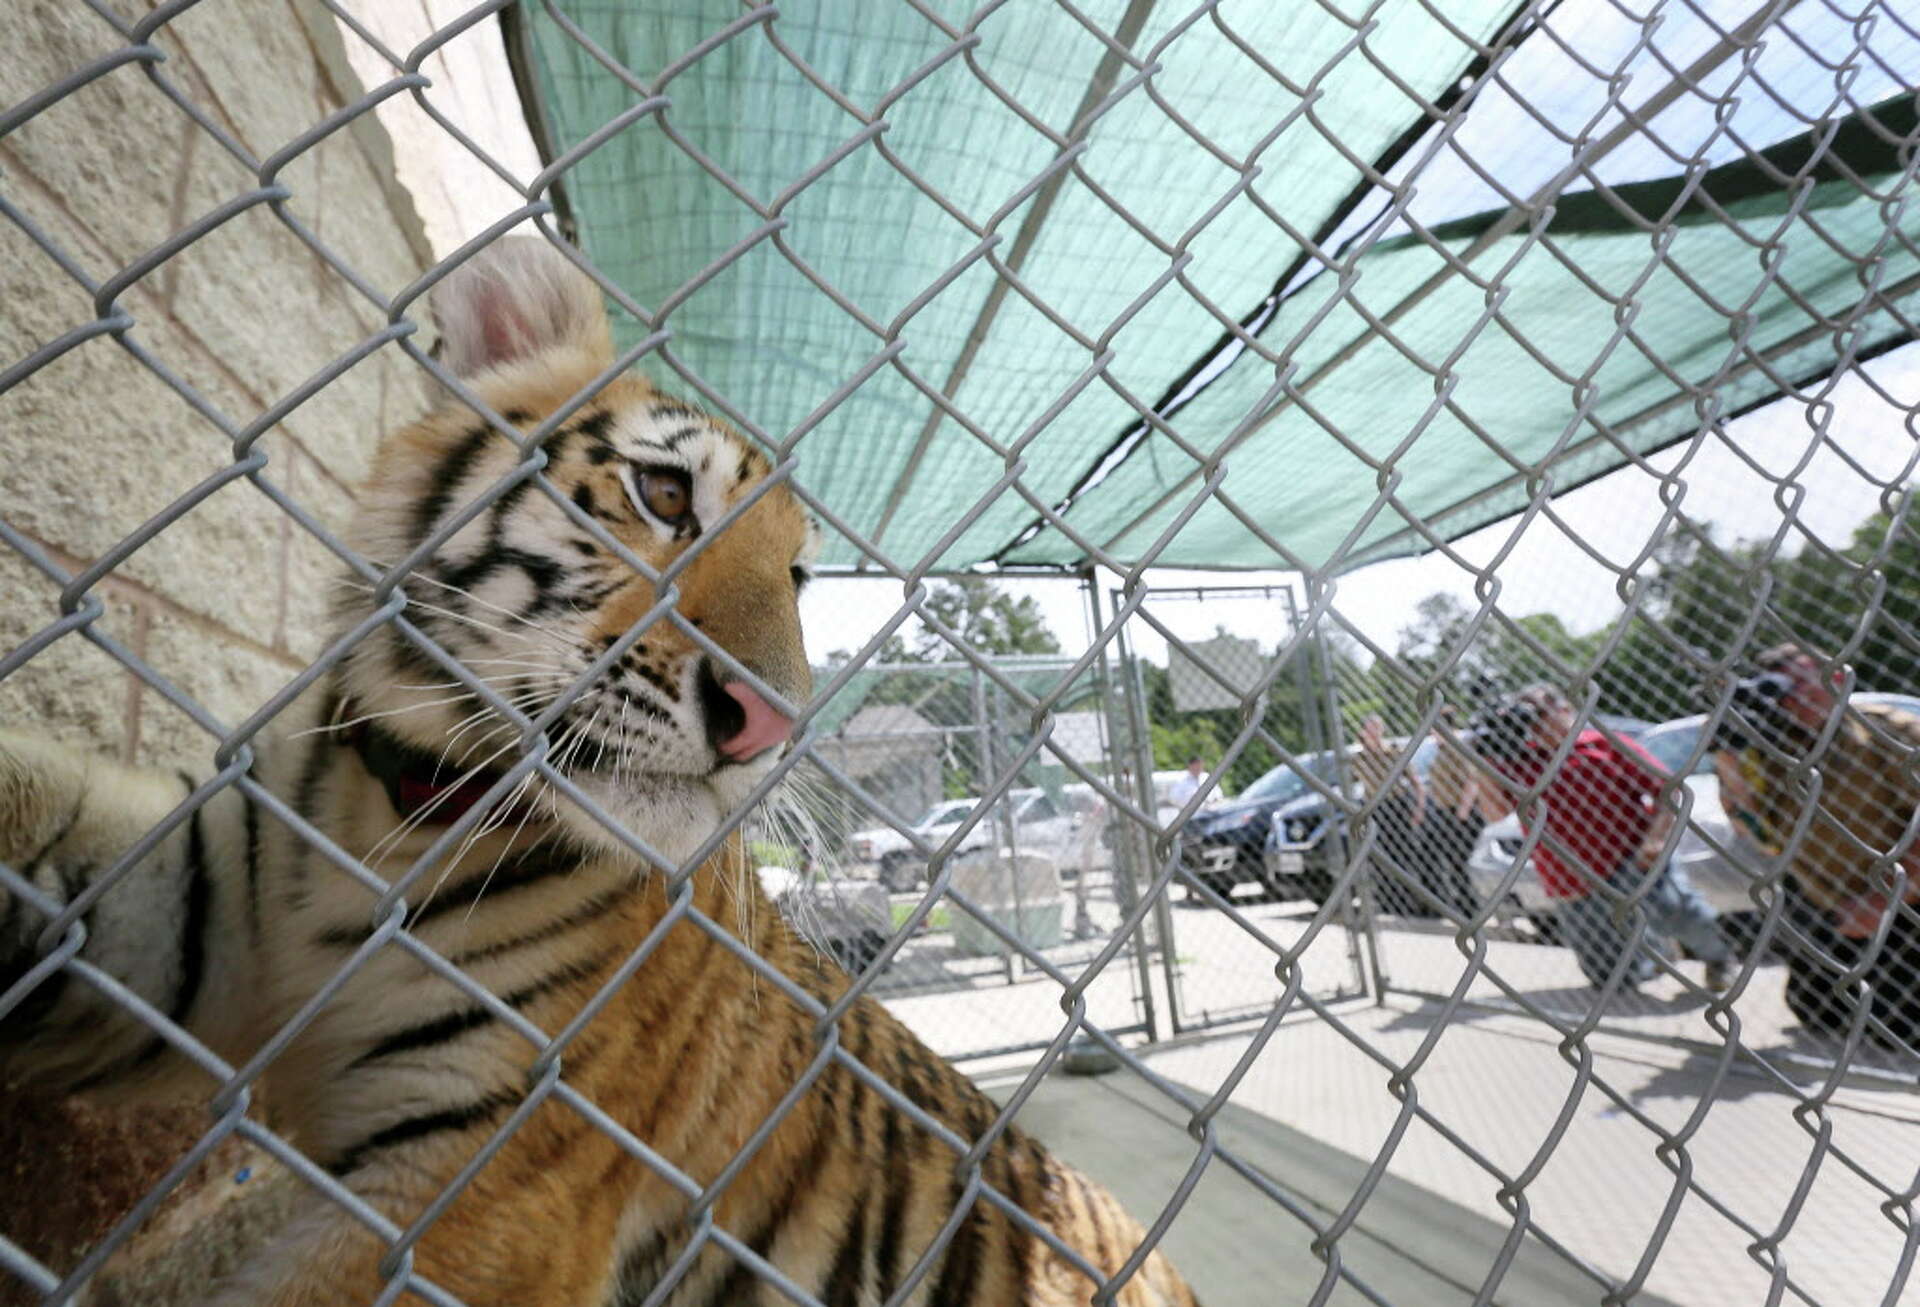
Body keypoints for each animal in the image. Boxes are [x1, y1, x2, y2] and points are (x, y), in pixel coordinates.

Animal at [0, 236, 1199, 1307]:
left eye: (797, 575)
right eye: (665, 496)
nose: (772, 723)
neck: (391, 816)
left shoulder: (488, 1190)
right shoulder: (166, 903)